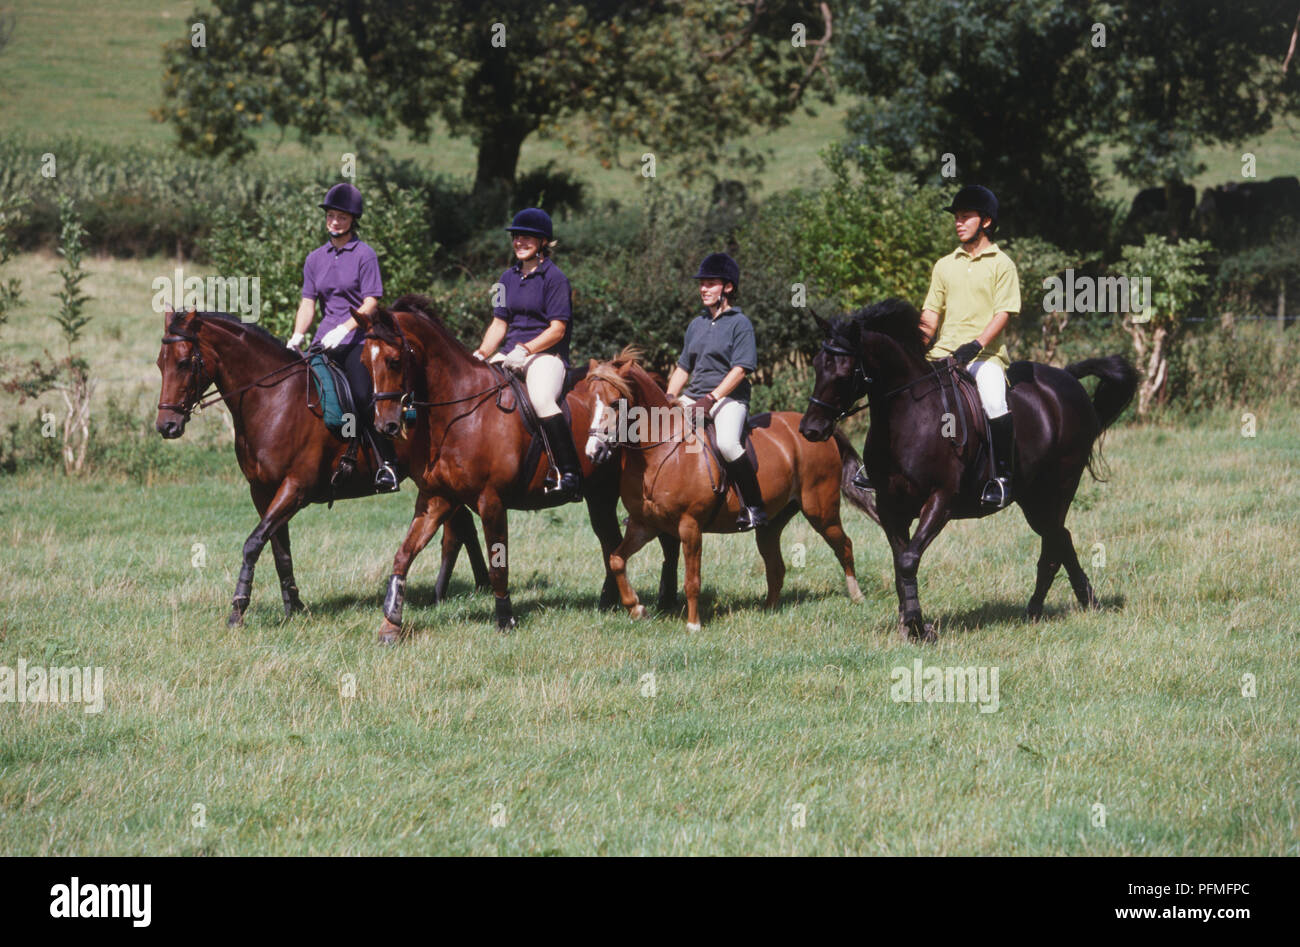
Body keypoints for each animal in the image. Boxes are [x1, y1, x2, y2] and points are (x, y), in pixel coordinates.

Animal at [154, 306, 489, 626]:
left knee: (458, 530)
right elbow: (279, 549)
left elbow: (253, 544)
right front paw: (294, 607)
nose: (166, 426)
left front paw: (238, 609)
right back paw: (465, 588)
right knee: (461, 528)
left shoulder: (295, 489)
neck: (273, 399)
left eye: (183, 363)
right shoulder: (263, 492)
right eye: (160, 364)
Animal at [352, 296, 681, 643]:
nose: (384, 425)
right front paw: (390, 623)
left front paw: (505, 619)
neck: (460, 412)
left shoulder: (491, 501)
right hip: (599, 496)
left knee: (661, 539)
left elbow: (498, 565)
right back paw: (612, 601)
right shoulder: (436, 499)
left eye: (393, 361)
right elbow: (404, 554)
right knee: (611, 542)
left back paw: (665, 601)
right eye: (363, 362)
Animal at [582, 348, 879, 631]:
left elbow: (692, 579)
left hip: (820, 509)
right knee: (776, 565)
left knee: (844, 546)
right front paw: (637, 609)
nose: (594, 452)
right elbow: (616, 559)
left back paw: (857, 597)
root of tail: (818, 431)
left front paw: (693, 624)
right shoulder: (644, 524)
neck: (660, 453)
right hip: (772, 523)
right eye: (588, 403)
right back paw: (768, 610)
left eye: (615, 403)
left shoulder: (689, 526)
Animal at [798, 299, 1138, 641]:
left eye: (844, 372)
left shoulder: (940, 500)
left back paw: (1039, 609)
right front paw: (909, 624)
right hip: (1032, 497)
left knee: (1054, 542)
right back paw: (1080, 601)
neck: (909, 416)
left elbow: (908, 560)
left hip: (1059, 486)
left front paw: (919, 627)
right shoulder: (890, 505)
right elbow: (899, 562)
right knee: (1060, 537)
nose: (810, 429)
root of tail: (1066, 379)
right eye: (816, 365)